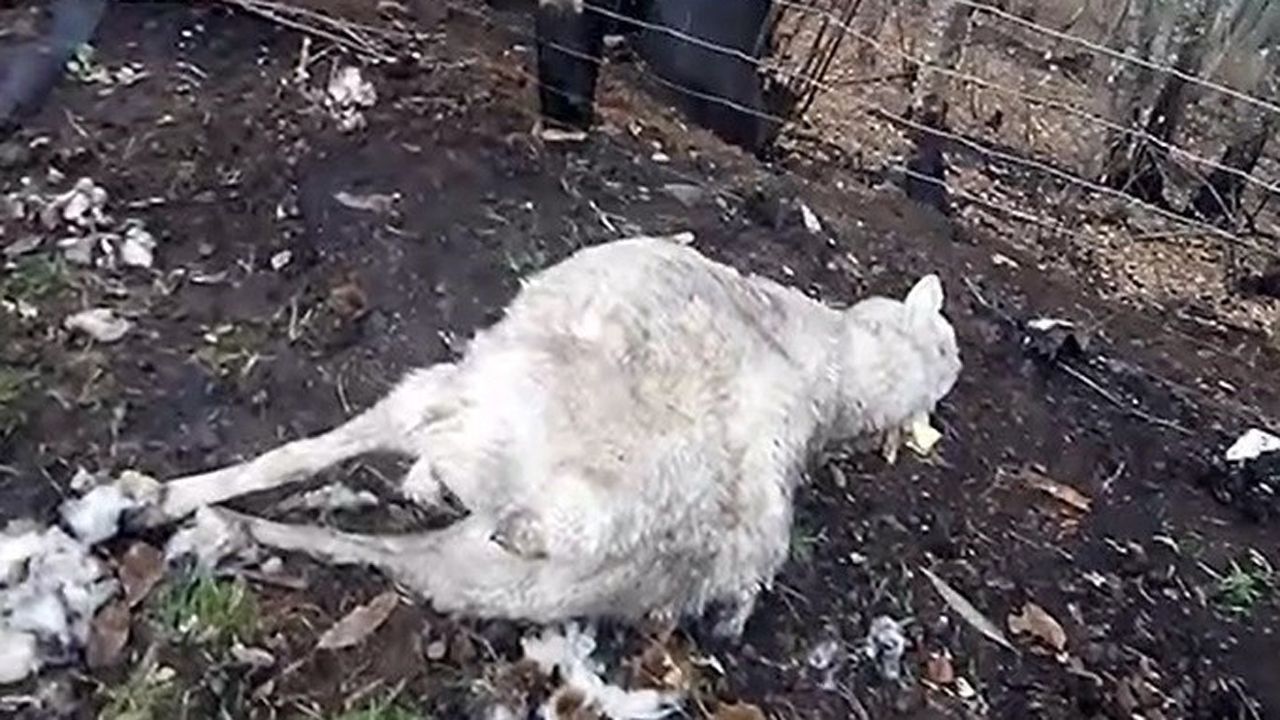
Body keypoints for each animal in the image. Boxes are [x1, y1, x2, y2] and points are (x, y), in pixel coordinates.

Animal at [140, 234, 961, 638]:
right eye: (949, 344)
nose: (952, 370)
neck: (830, 369)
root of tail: (573, 523)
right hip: (496, 564)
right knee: (352, 516)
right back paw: (198, 514)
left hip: (461, 437)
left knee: (329, 493)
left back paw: (180, 504)